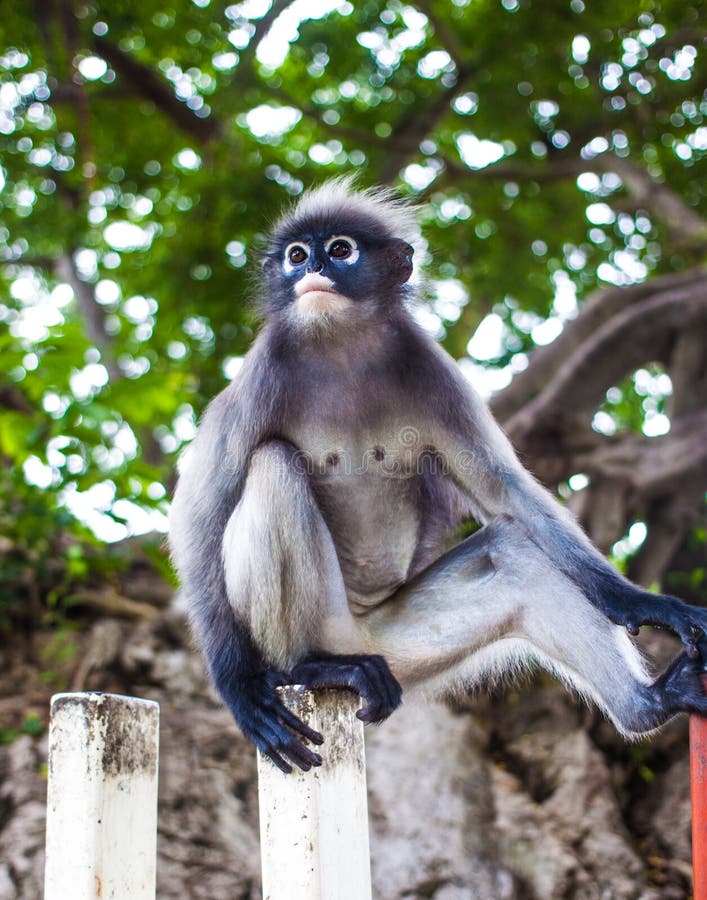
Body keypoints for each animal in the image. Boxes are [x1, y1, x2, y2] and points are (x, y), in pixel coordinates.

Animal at [169, 177, 707, 773]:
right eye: (296, 256)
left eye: (339, 250)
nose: (313, 269)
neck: (342, 344)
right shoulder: (260, 374)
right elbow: (200, 519)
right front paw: (239, 692)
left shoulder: (432, 370)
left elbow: (507, 495)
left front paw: (645, 603)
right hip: (324, 626)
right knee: (273, 466)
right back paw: (306, 667)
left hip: (396, 648)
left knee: (515, 553)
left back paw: (649, 705)